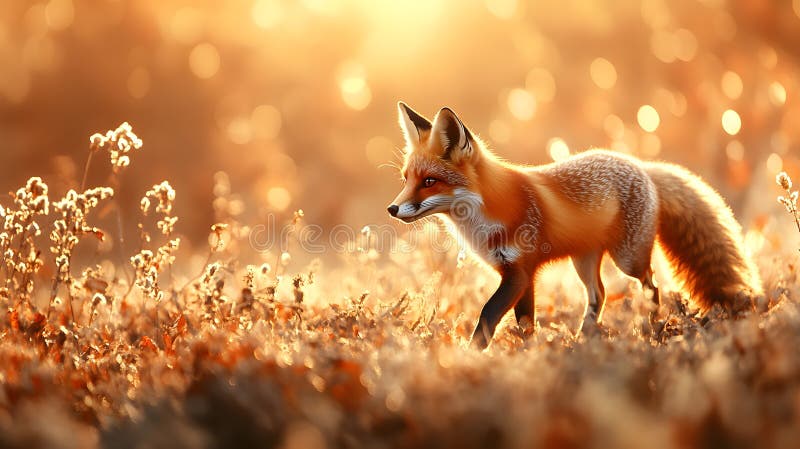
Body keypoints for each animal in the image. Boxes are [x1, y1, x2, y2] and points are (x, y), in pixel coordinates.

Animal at [387, 102, 763, 349]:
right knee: (600, 294)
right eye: (406, 179)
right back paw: (585, 338)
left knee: (652, 286)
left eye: (430, 181)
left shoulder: (519, 271)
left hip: (628, 257)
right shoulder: (522, 274)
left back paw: (652, 326)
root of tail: (641, 165)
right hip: (584, 260)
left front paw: (470, 357)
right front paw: (528, 355)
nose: (392, 208)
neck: (484, 216)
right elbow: (526, 323)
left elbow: (488, 316)